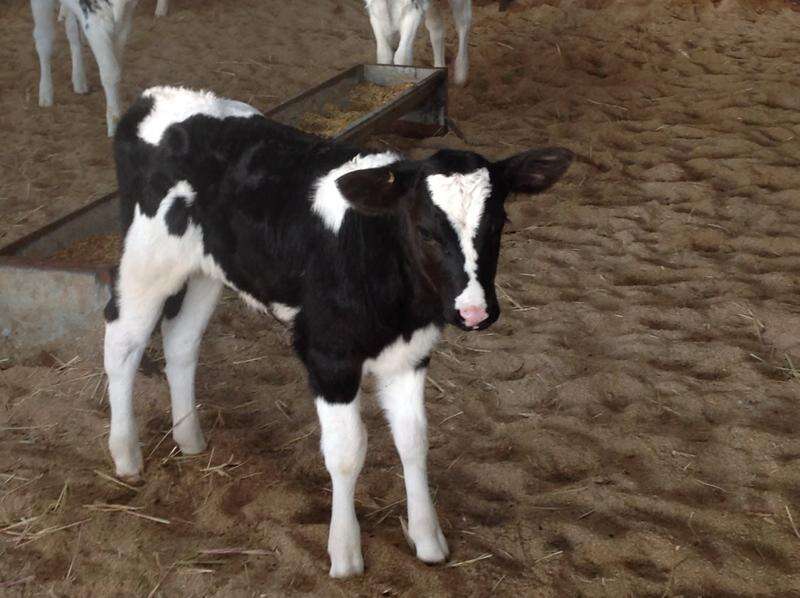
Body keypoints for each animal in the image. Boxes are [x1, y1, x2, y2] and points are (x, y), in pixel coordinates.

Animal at [104, 85, 573, 577]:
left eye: (499, 225)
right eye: (426, 230)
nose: (475, 312)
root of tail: (155, 97)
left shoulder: (411, 354)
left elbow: (414, 441)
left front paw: (428, 539)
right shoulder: (329, 356)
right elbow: (347, 452)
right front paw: (345, 552)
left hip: (206, 270)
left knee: (181, 341)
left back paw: (189, 439)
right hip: (146, 259)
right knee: (122, 342)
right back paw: (126, 454)